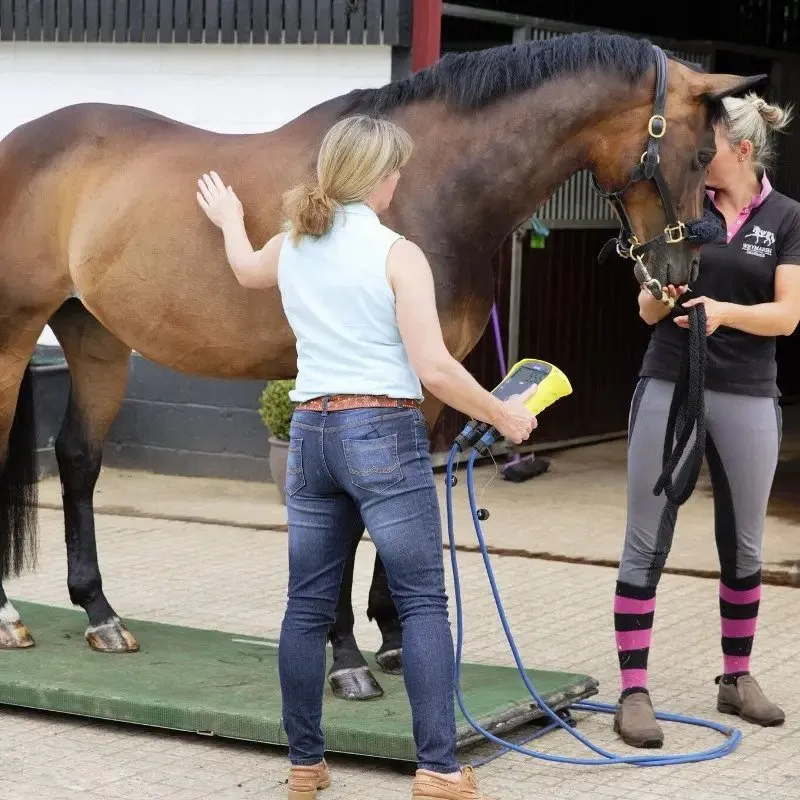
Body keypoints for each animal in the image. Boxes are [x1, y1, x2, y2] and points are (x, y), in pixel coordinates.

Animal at [0, 32, 763, 703]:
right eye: (701, 153)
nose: (678, 276)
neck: (425, 188)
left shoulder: (425, 383)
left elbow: (405, 495)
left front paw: (394, 637)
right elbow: (350, 510)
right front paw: (346, 659)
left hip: (96, 337)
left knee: (78, 459)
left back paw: (101, 615)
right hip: (13, 335)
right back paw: (12, 618)